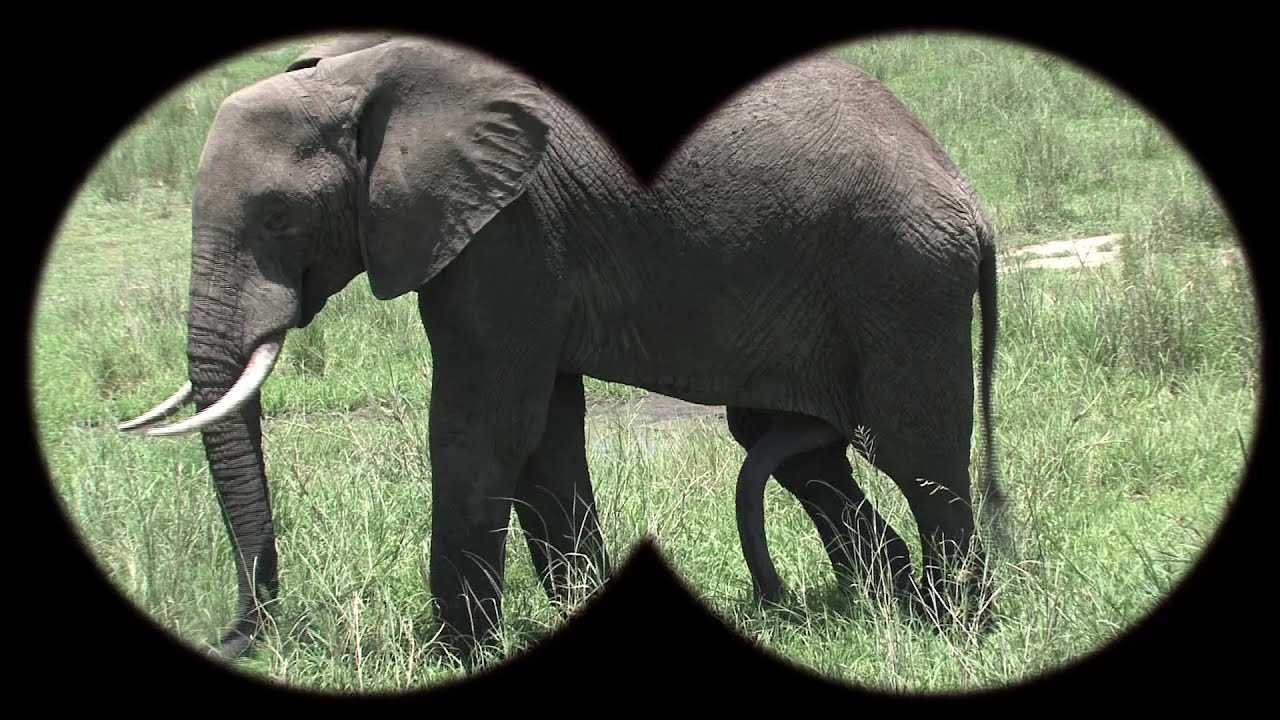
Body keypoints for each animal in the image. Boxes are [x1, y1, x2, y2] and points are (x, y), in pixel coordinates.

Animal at [117, 33, 1008, 666]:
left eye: (277, 216)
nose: (238, 641)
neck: (366, 70)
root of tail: (968, 197)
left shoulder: (508, 230)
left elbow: (483, 427)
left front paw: (456, 655)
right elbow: (543, 432)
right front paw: (571, 610)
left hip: (900, 280)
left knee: (917, 453)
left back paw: (955, 625)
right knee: (786, 443)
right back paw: (891, 602)